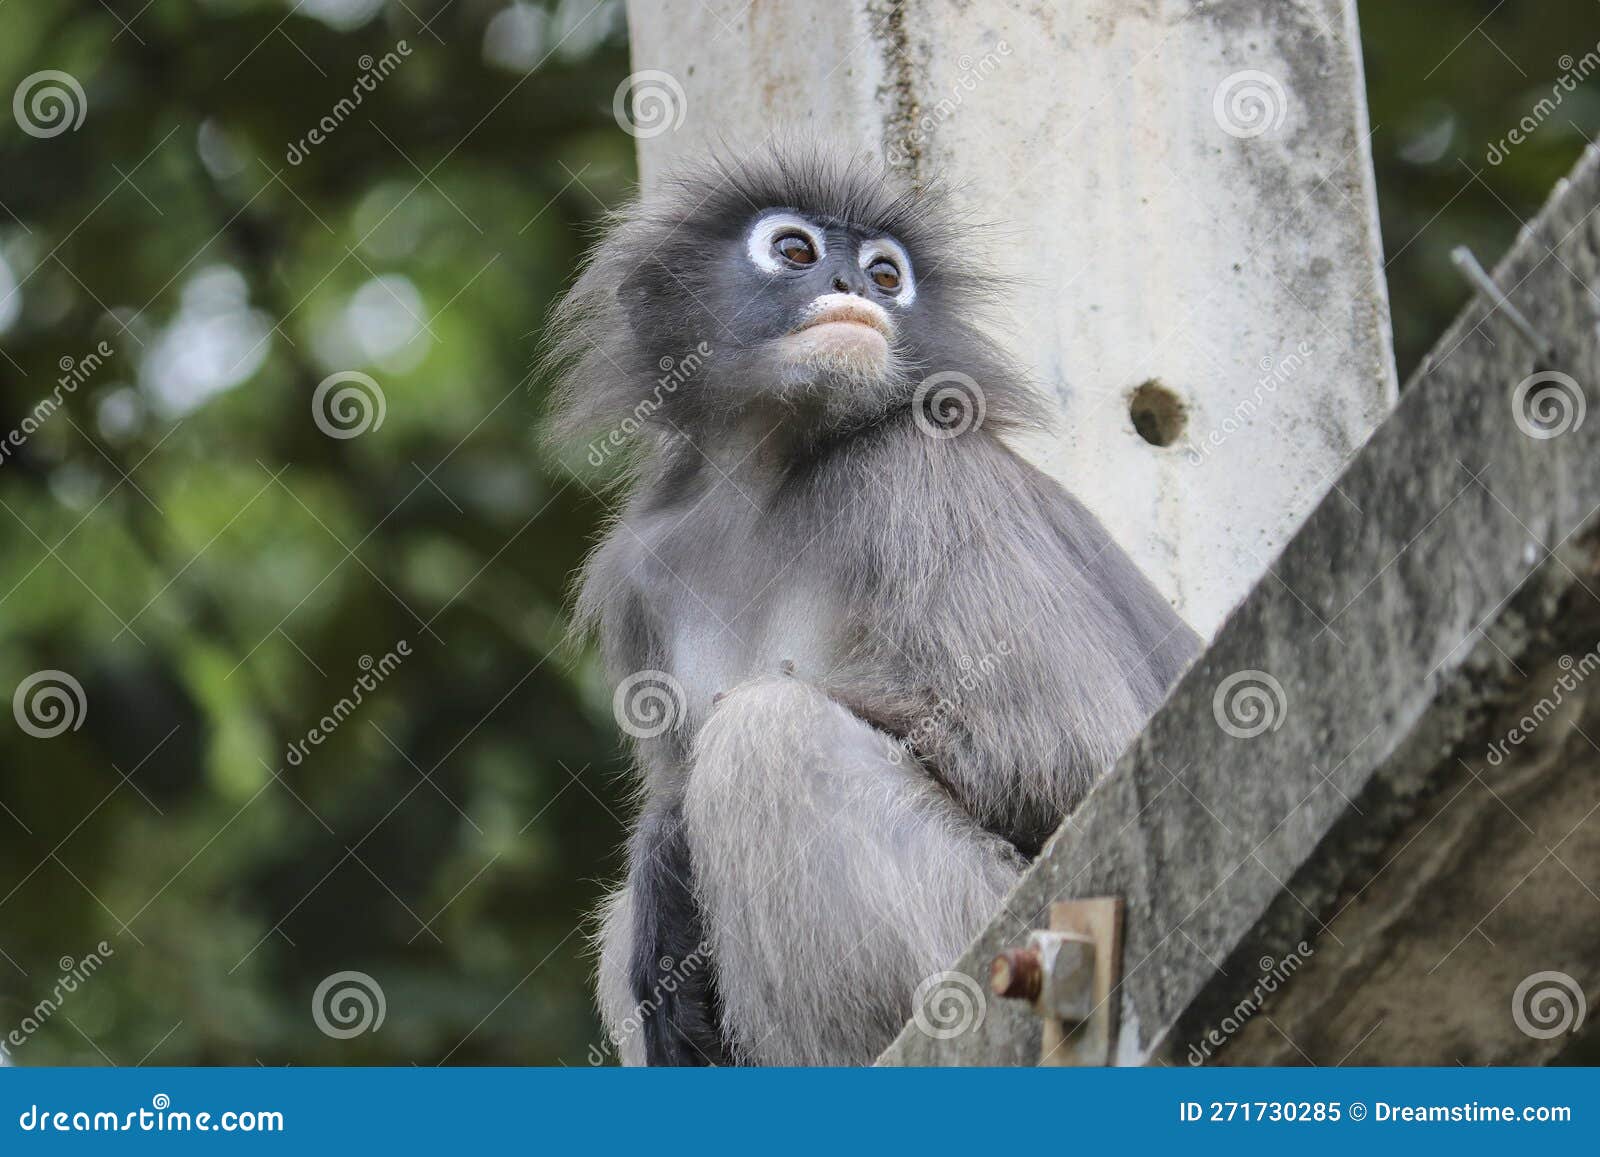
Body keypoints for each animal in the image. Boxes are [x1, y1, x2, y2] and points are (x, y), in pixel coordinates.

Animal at [546, 147, 1200, 1066]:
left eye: (889, 273)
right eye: (794, 250)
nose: (856, 281)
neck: (771, 472)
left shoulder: (918, 466)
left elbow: (1068, 754)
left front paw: (667, 842)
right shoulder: (640, 567)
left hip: (990, 932)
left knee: (768, 733)